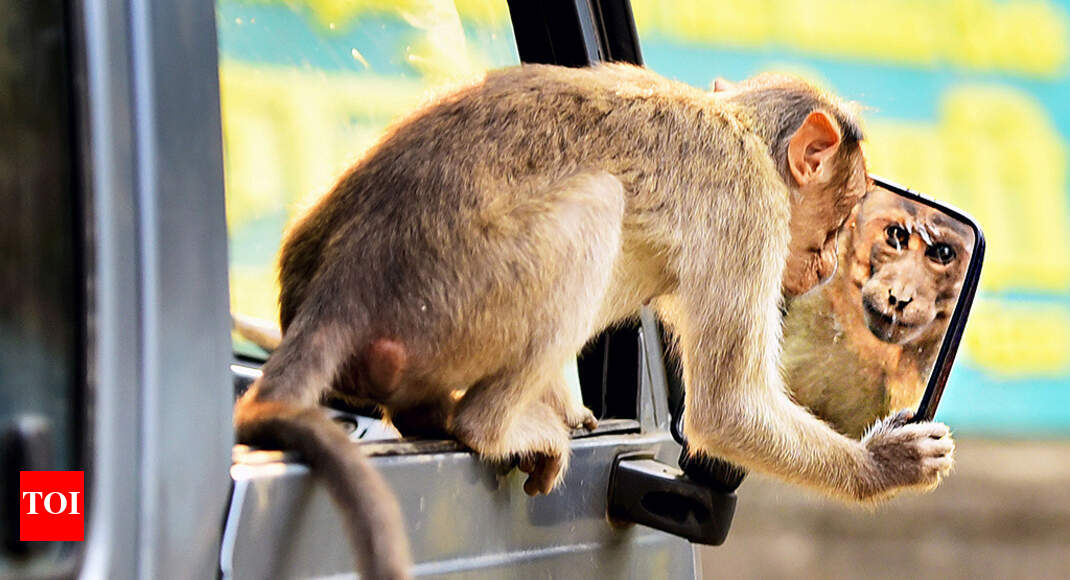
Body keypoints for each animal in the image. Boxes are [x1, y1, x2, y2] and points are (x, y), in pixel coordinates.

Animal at [234, 63, 954, 578]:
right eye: (841, 217)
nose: (829, 262)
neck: (739, 127)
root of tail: (340, 290)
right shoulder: (750, 207)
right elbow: (727, 407)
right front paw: (883, 466)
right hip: (458, 295)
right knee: (597, 203)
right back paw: (489, 427)